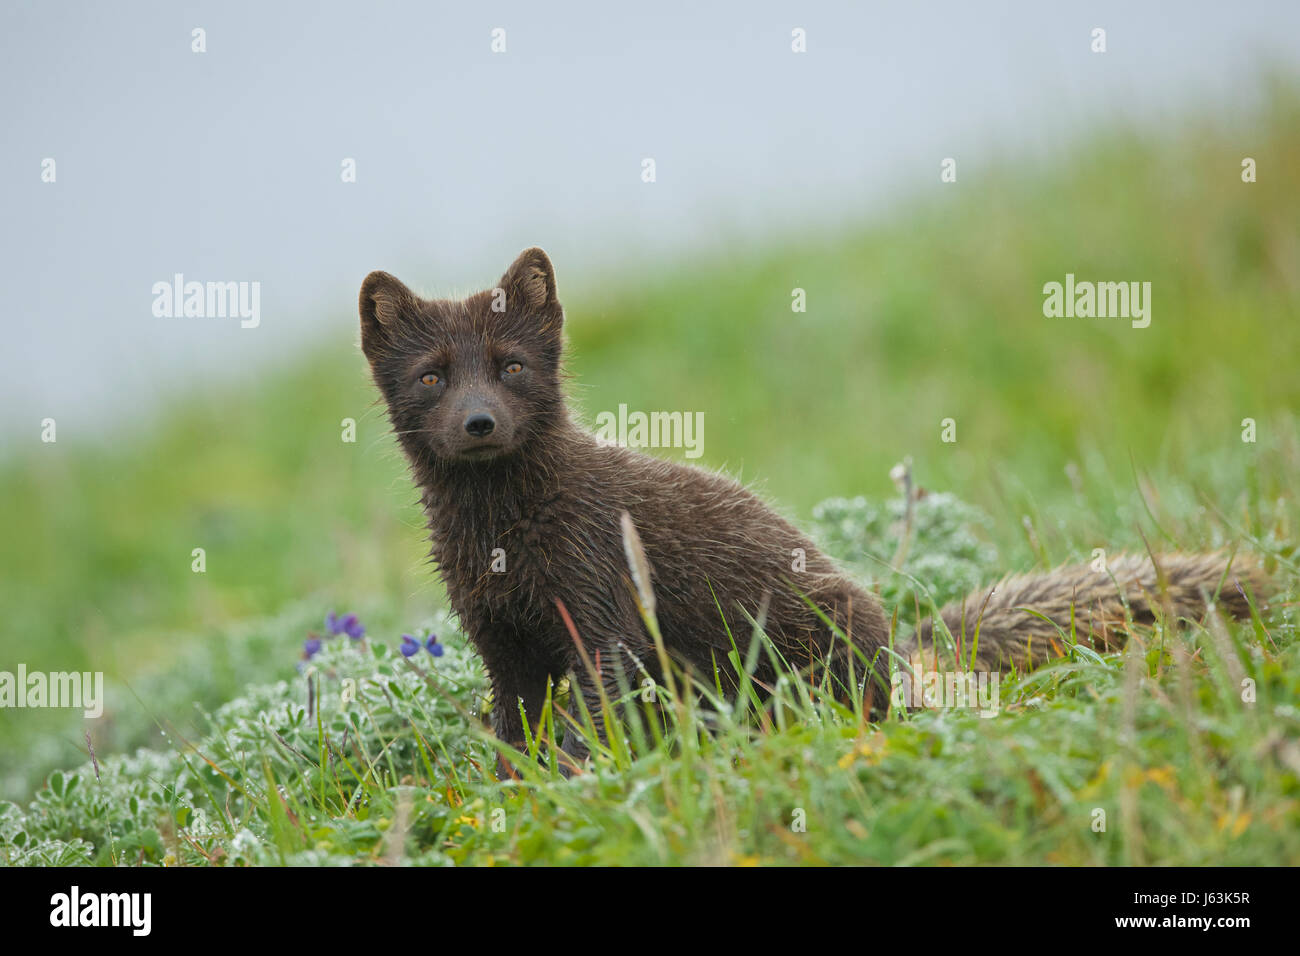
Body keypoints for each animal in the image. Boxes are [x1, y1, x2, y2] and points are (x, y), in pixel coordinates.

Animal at [359, 247, 1267, 769]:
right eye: (433, 376)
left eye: (511, 364)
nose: (479, 422)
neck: (503, 542)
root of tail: (900, 641)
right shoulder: (493, 629)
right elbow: (514, 721)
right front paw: (520, 785)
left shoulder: (599, 590)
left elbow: (597, 700)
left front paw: (580, 777)